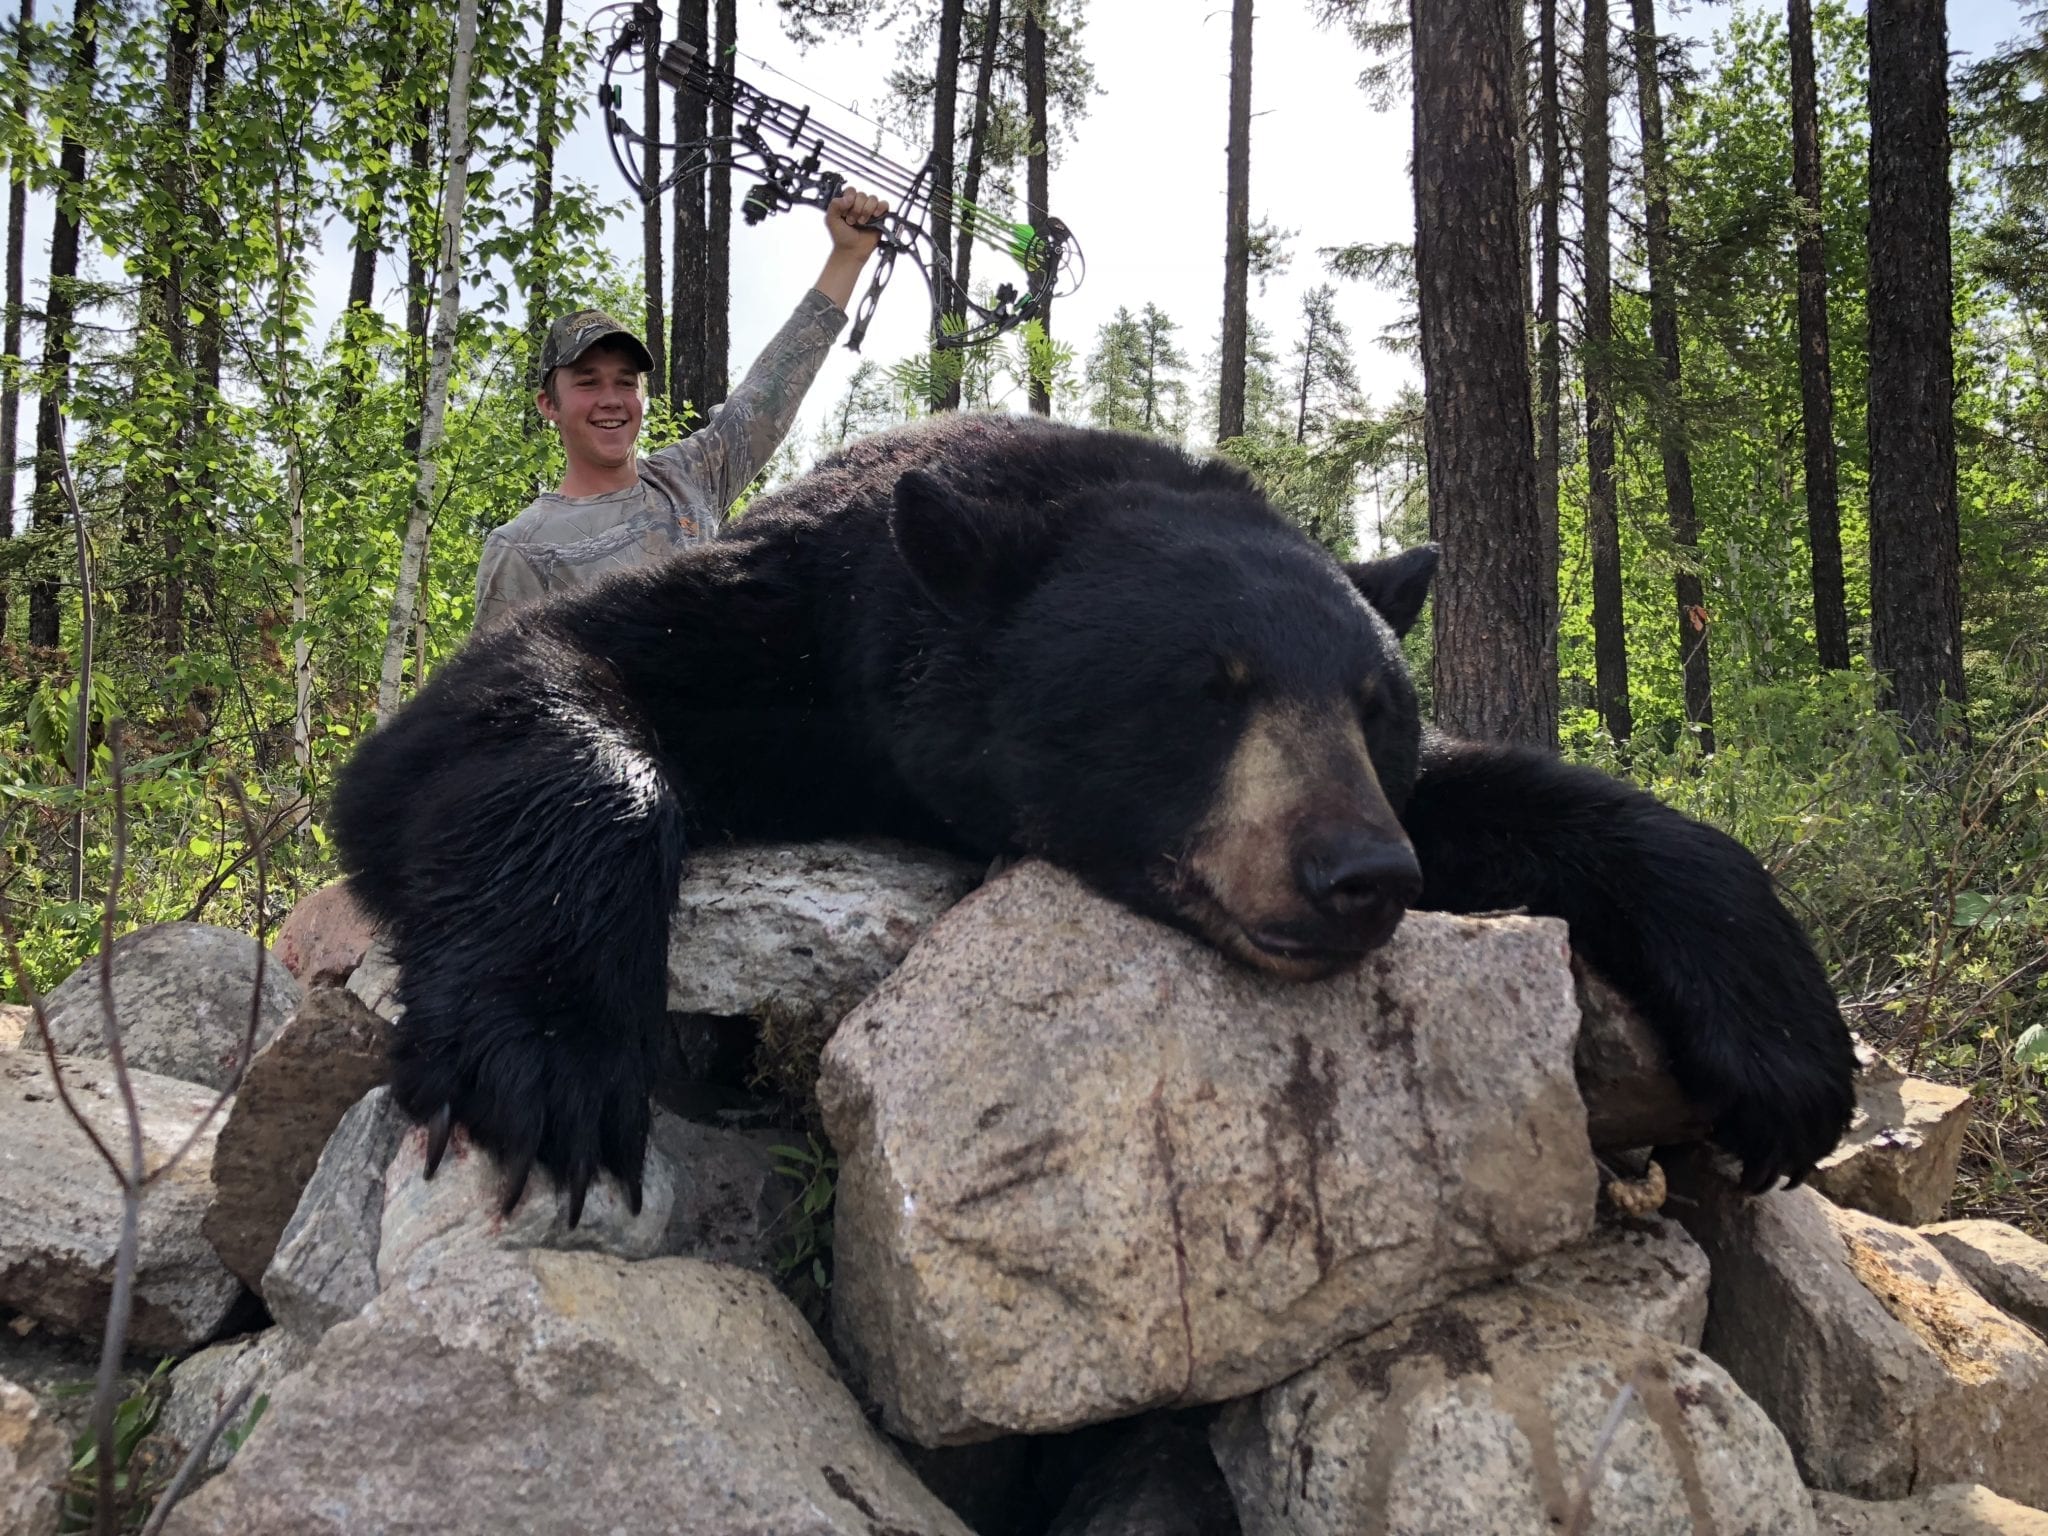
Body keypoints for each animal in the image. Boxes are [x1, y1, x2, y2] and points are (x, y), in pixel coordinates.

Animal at [332, 411, 1857, 1224]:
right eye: (1203, 687)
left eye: (1376, 703)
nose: (1359, 873)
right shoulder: (788, 620)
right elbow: (499, 698)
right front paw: (545, 1056)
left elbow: (1528, 796)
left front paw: (1783, 1049)